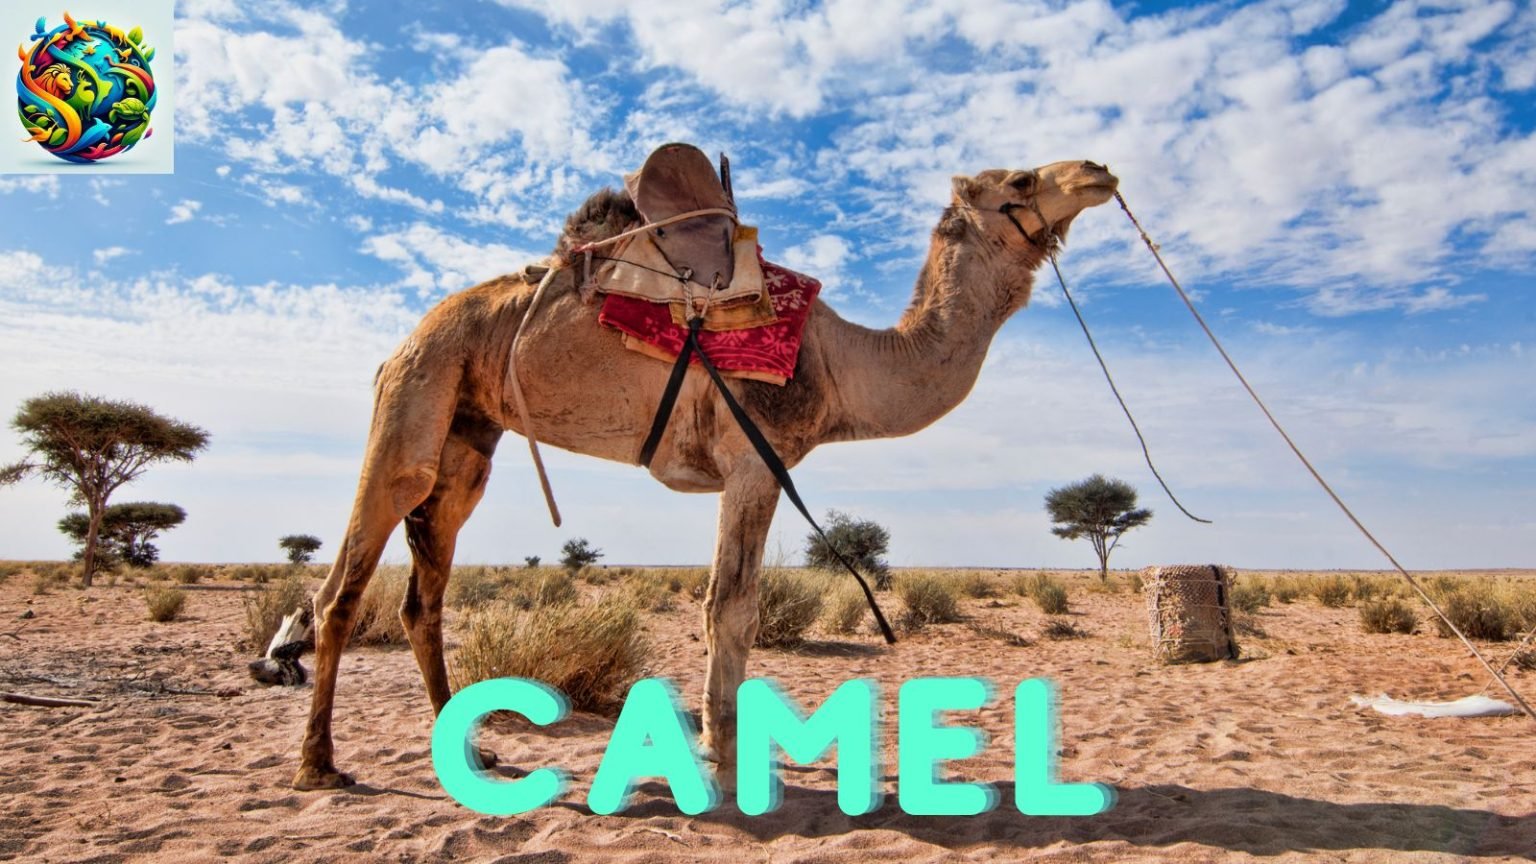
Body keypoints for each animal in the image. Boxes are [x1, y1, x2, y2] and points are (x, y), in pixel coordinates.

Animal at [292, 154, 1119, 790]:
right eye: (1020, 180)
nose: (1097, 171)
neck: (842, 366)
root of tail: (407, 337)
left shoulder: (746, 468)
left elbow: (717, 606)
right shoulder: (755, 460)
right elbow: (733, 609)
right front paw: (726, 770)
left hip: (469, 437)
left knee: (424, 594)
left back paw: (470, 754)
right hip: (415, 395)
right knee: (343, 587)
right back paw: (319, 765)